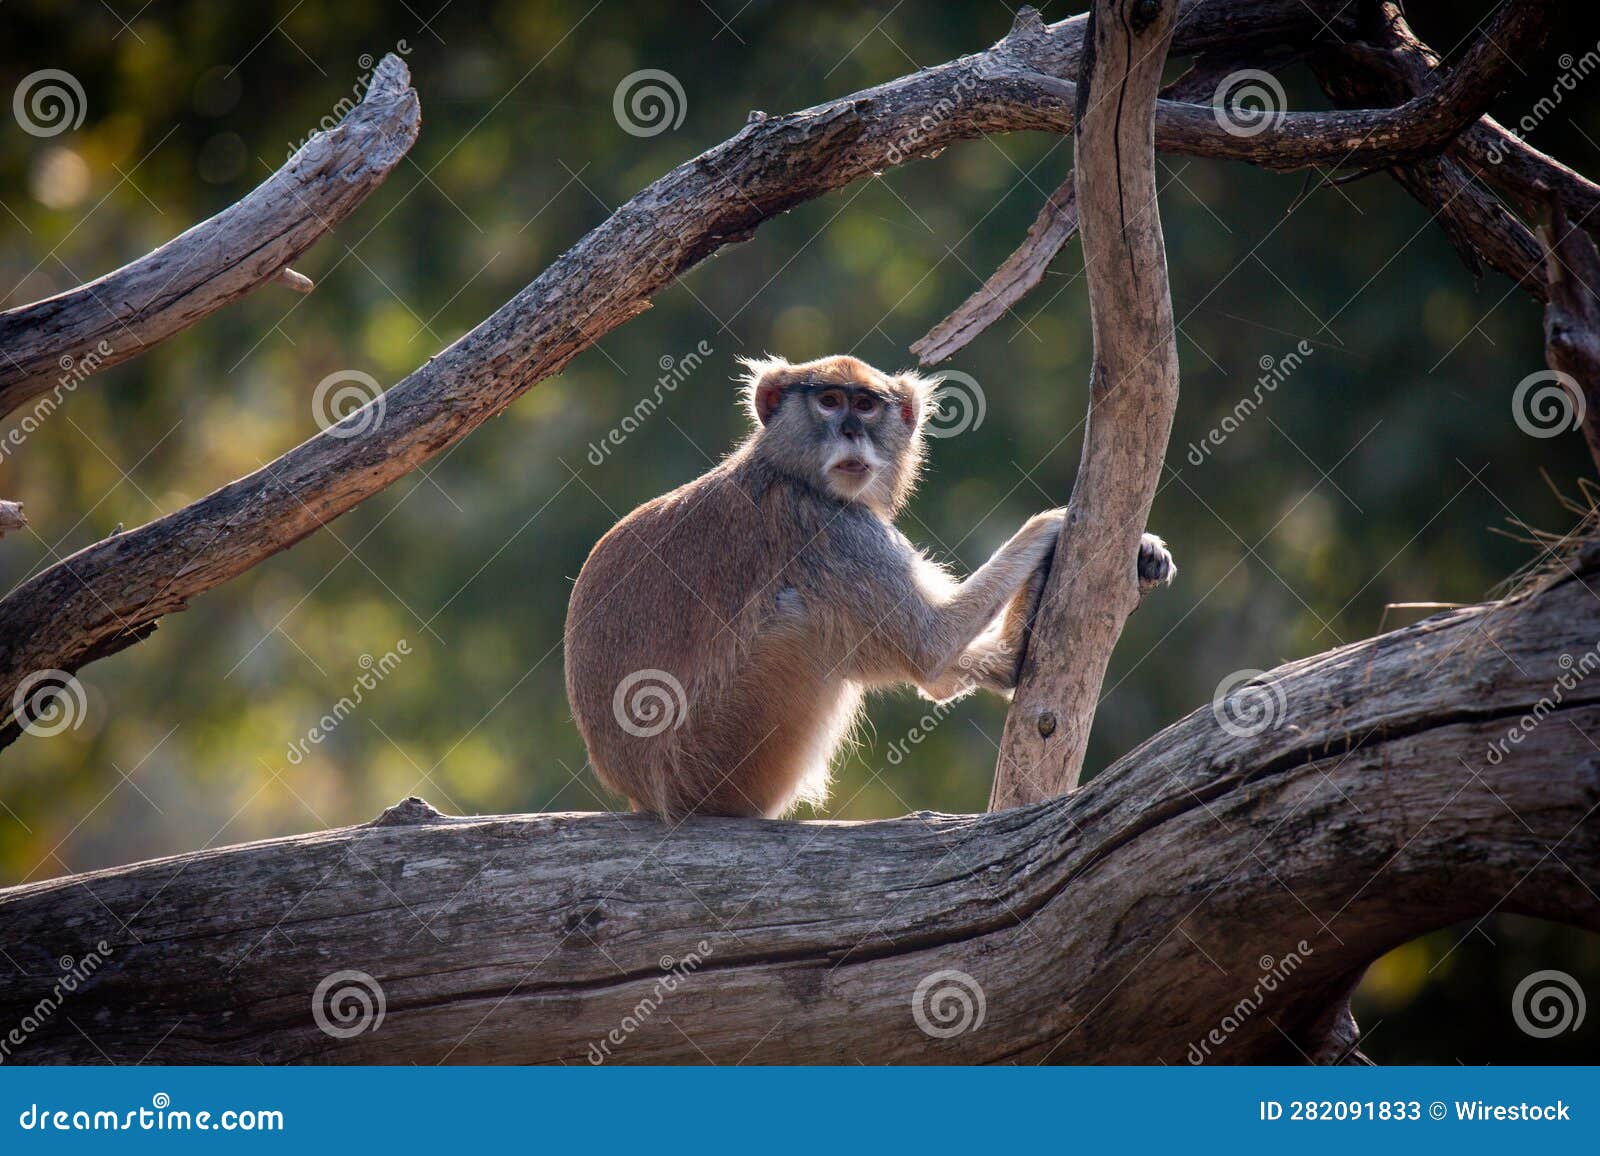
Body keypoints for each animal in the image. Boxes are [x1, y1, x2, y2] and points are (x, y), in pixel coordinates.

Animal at [564, 354, 1175, 819]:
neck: (784, 468)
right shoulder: (831, 528)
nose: (852, 432)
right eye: (830, 401)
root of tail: (644, 793)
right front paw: (1055, 524)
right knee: (803, 619)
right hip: (719, 760)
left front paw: (1141, 550)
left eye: (866, 405)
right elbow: (928, 648)